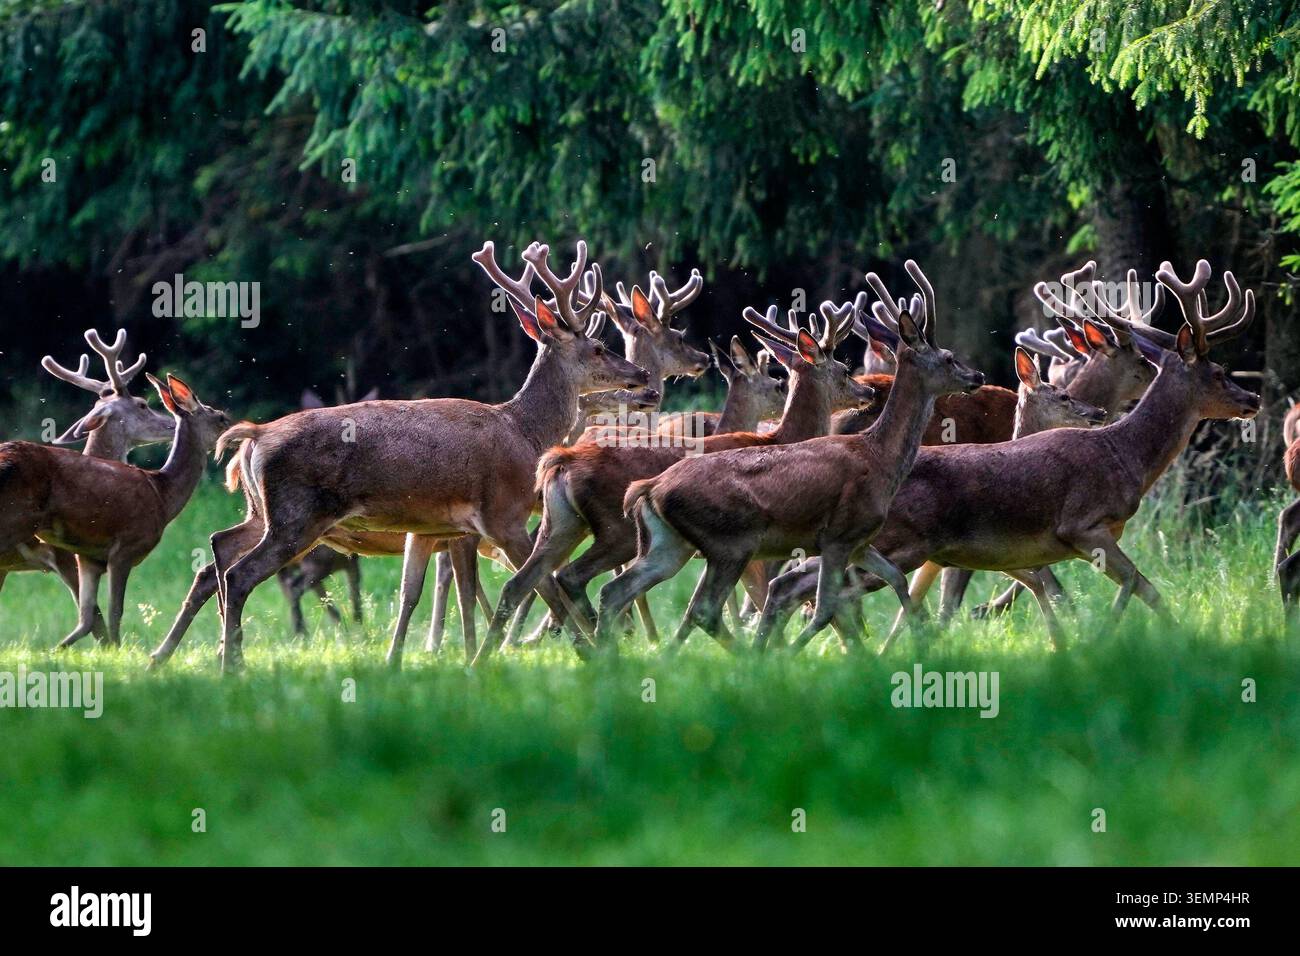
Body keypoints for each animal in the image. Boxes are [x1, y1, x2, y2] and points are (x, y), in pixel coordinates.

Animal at [0, 374, 231, 648]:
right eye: (218, 417)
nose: (232, 424)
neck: (162, 496)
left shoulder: (88, 557)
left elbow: (87, 619)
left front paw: (59, 650)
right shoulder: (126, 547)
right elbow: (114, 613)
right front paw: (119, 652)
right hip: (15, 520)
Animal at [156, 240, 649, 673]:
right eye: (599, 347)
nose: (641, 373)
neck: (525, 432)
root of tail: (255, 435)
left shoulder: (441, 528)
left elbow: (427, 591)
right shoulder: (502, 515)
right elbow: (539, 581)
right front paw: (587, 649)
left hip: (263, 513)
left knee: (219, 549)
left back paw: (193, 654)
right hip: (297, 516)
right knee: (240, 574)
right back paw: (229, 665)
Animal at [470, 301, 875, 665]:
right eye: (843, 370)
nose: (868, 392)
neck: (777, 439)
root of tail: (560, 462)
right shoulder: (743, 541)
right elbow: (761, 597)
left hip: (562, 524)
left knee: (525, 581)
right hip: (616, 530)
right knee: (570, 576)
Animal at [599, 260, 984, 653]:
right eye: (949, 357)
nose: (978, 374)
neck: (879, 457)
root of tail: (648, 488)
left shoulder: (861, 540)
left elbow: (896, 580)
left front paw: (915, 638)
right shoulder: (838, 534)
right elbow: (823, 607)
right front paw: (794, 650)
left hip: (669, 543)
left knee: (619, 591)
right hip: (729, 543)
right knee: (702, 608)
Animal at [757, 259, 1257, 653]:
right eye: (1218, 372)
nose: (1251, 398)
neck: (1126, 455)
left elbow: (1136, 590)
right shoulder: (1083, 524)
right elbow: (1136, 584)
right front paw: (1110, 637)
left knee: (796, 585)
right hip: (893, 539)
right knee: (803, 586)